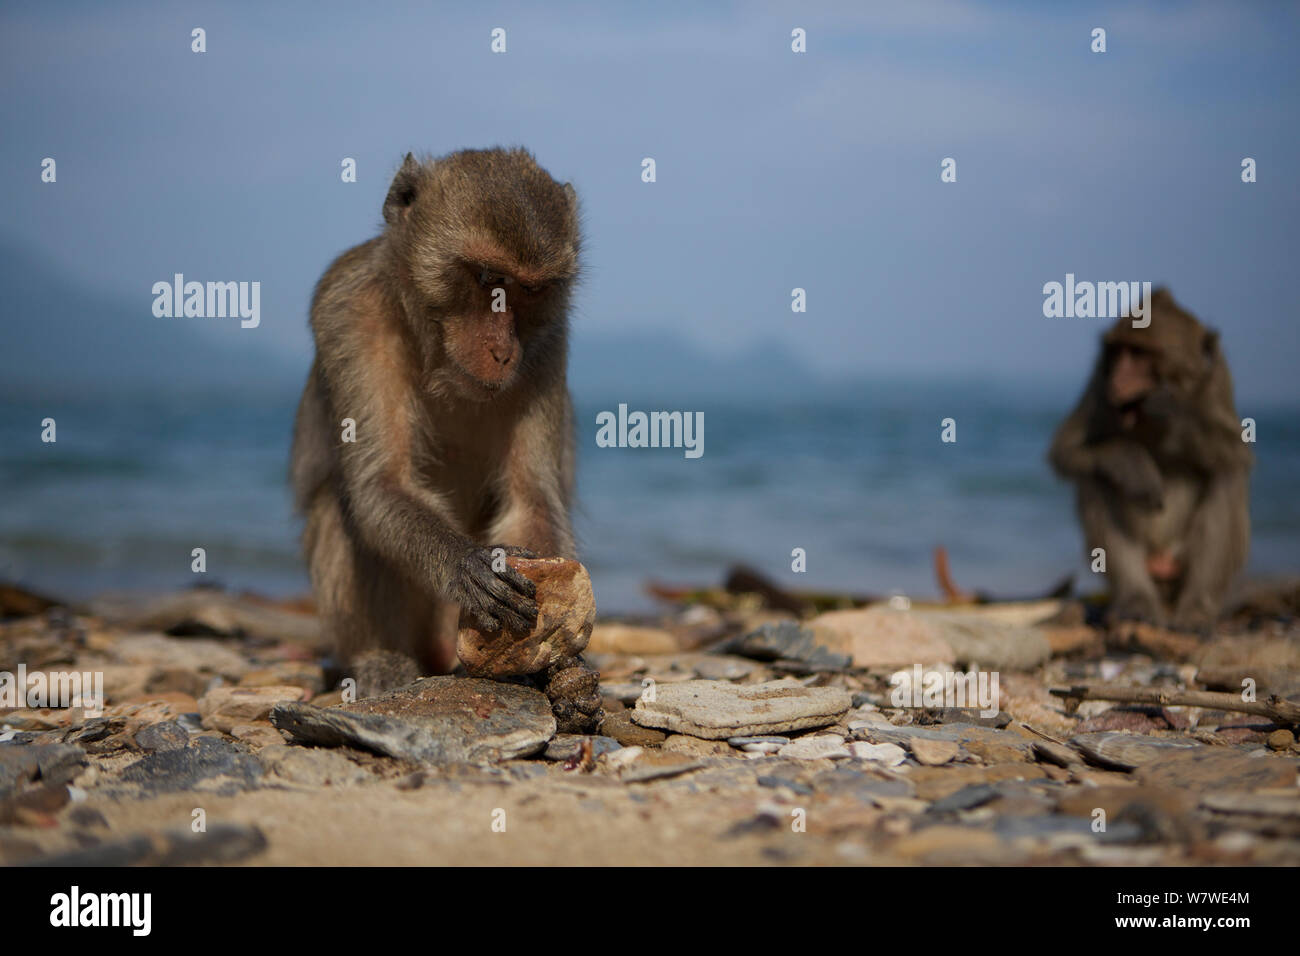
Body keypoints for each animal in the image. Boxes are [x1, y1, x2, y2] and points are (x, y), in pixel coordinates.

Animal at [290, 148, 580, 694]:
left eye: (530, 291)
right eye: (488, 279)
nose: (503, 351)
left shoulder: (548, 344)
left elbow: (530, 500)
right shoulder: (347, 311)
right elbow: (381, 485)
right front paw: (467, 565)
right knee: (341, 508)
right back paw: (380, 659)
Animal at [1049, 288, 1251, 634]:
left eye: (1140, 354)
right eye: (1119, 352)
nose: (1119, 377)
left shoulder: (1218, 376)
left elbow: (1236, 452)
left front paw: (1173, 407)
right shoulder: (1099, 379)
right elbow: (1066, 449)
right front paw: (1130, 461)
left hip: (1181, 559)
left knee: (1227, 475)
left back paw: (1197, 608)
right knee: (1097, 480)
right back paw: (1136, 601)